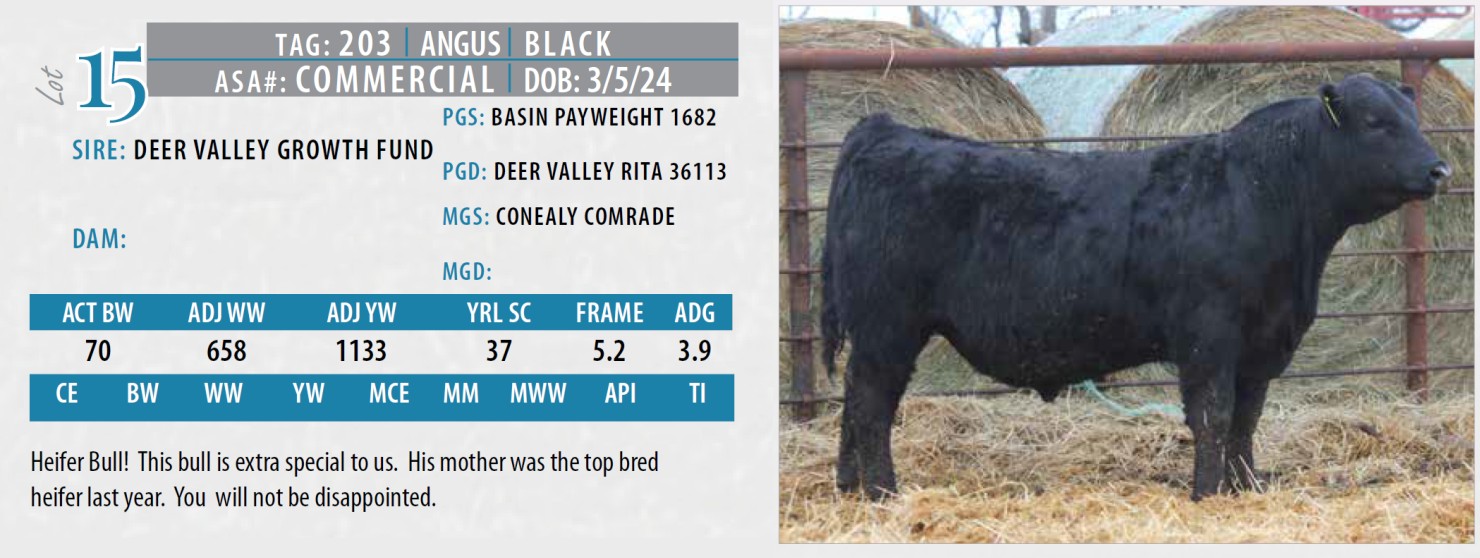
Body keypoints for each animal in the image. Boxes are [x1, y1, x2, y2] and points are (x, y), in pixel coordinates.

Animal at [820, 74, 1451, 502]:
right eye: (1376, 123)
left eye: (1412, 118)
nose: (1440, 169)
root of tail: (888, 130)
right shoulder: (1208, 337)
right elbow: (1213, 416)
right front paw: (1206, 495)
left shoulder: (1263, 344)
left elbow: (1246, 421)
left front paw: (1246, 489)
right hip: (889, 325)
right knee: (872, 403)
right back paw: (883, 492)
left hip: (878, 332)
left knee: (854, 400)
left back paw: (850, 486)